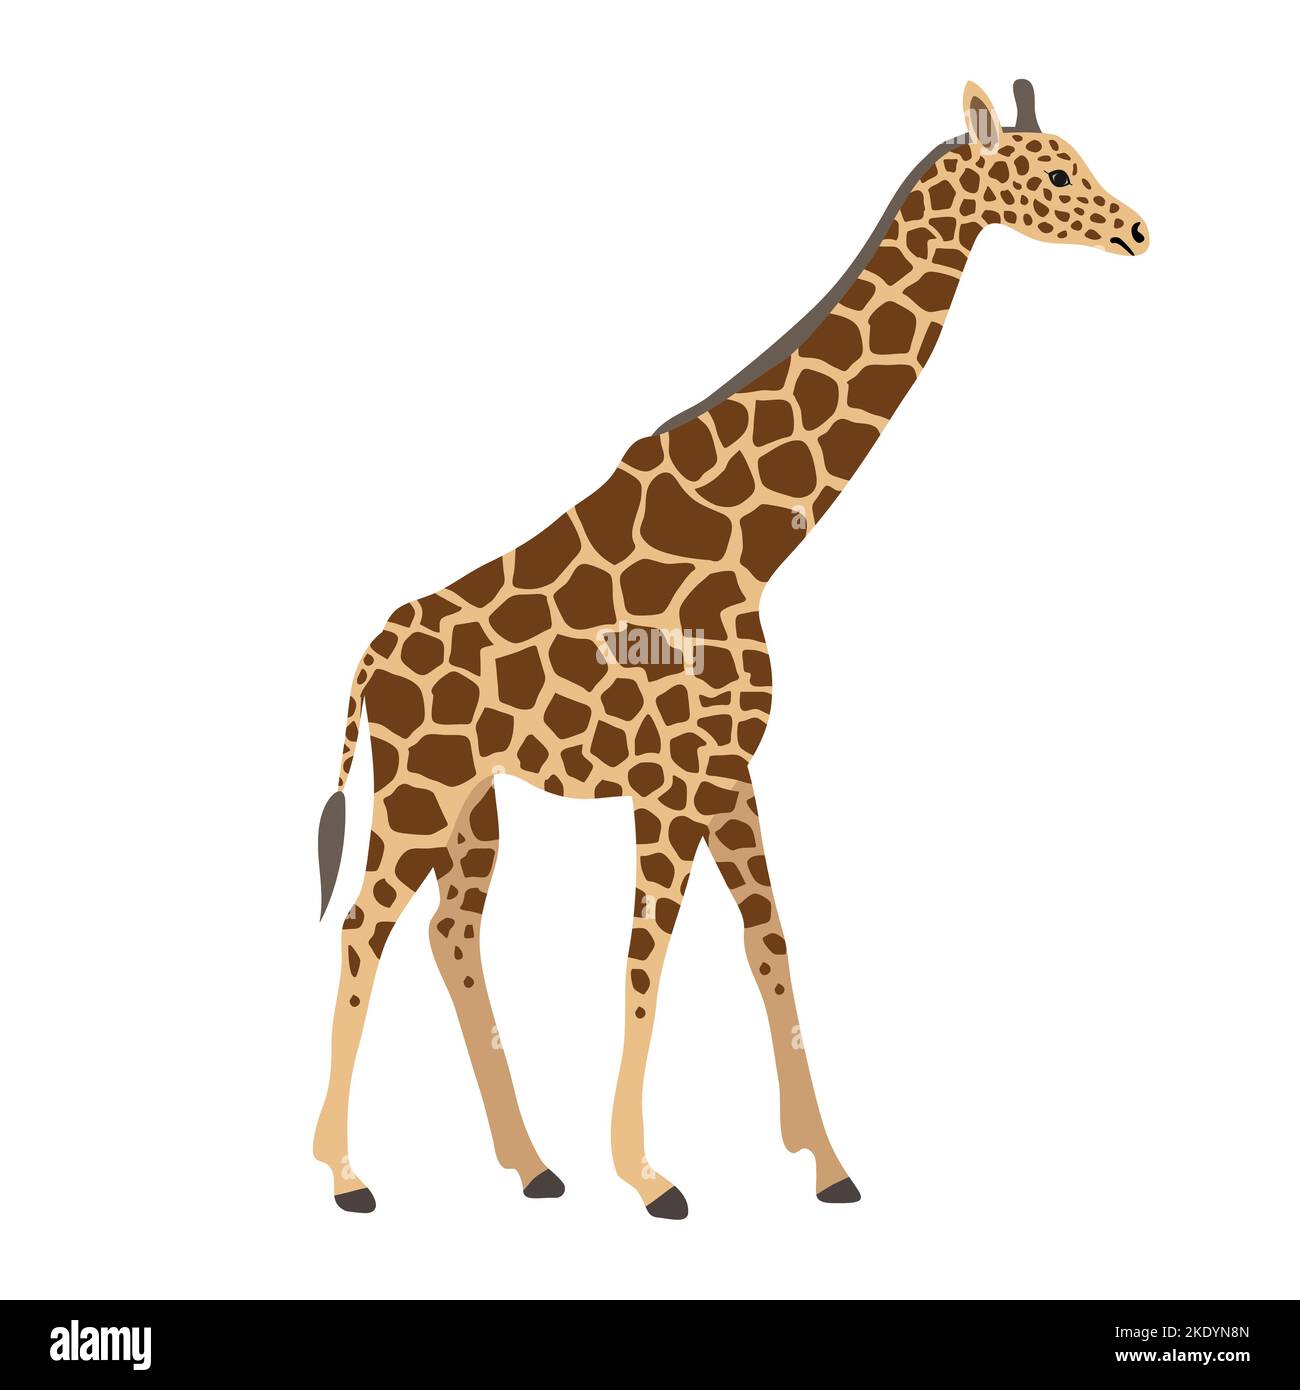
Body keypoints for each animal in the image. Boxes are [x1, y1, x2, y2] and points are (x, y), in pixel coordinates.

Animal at [313, 79, 1148, 1219]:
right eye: (1057, 171)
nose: (1137, 230)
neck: (750, 539)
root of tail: (365, 663)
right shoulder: (675, 777)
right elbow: (646, 959)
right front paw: (649, 1174)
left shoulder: (727, 769)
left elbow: (768, 944)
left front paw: (826, 1165)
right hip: (419, 789)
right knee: (365, 925)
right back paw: (348, 1172)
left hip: (473, 801)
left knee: (452, 933)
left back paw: (532, 1165)